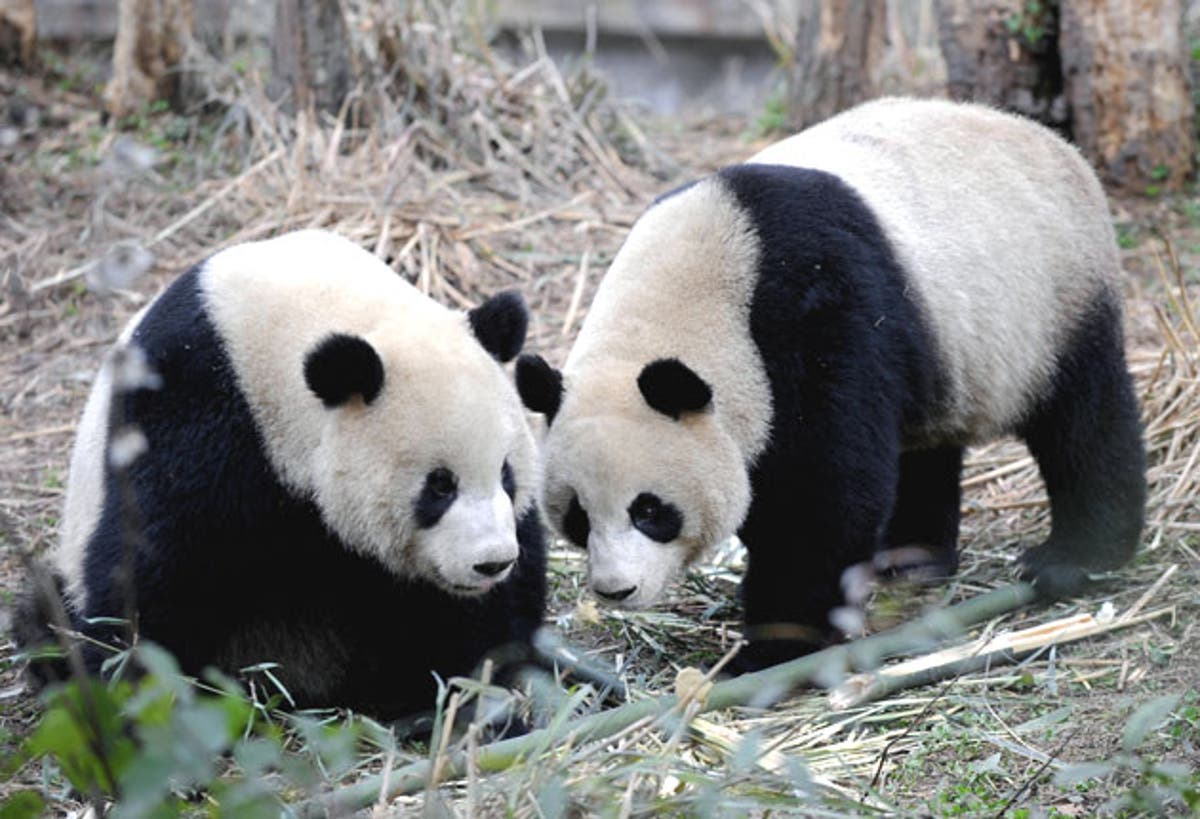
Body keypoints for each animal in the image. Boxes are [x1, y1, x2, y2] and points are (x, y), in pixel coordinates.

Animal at [17, 229, 547, 719]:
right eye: (439, 485)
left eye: (506, 474)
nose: (491, 562)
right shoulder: (195, 412)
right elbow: (148, 571)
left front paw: (464, 686)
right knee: (46, 612)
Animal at [514, 97, 1146, 671]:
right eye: (577, 517)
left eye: (650, 510)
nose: (615, 590)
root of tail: (1054, 144)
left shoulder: (816, 313)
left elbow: (823, 492)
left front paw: (772, 649)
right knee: (924, 443)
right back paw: (910, 557)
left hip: (1053, 294)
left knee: (1083, 419)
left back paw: (1075, 557)